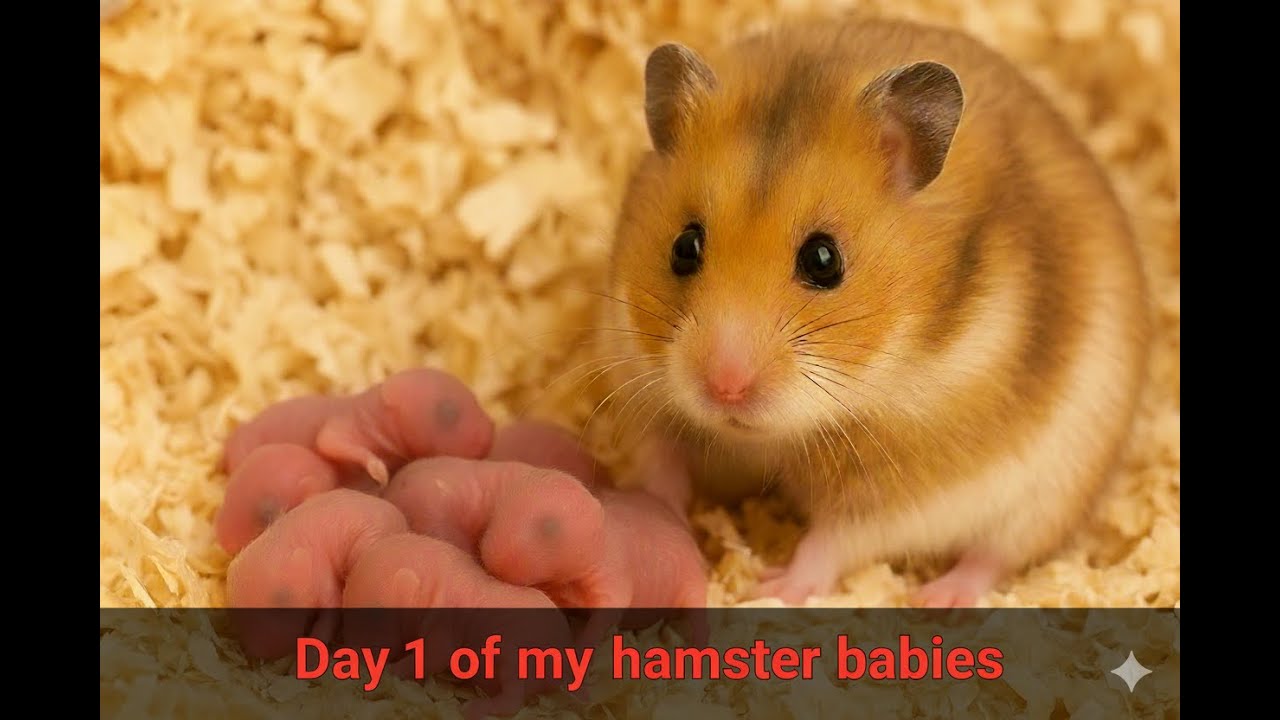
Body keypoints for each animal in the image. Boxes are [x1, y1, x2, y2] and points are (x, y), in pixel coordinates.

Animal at [599, 15, 1151, 607]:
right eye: (684, 247)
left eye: (824, 260)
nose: (724, 388)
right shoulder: (638, 384)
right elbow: (660, 461)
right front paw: (663, 517)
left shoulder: (912, 484)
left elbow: (837, 538)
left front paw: (773, 587)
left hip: (1052, 495)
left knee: (993, 558)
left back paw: (939, 599)